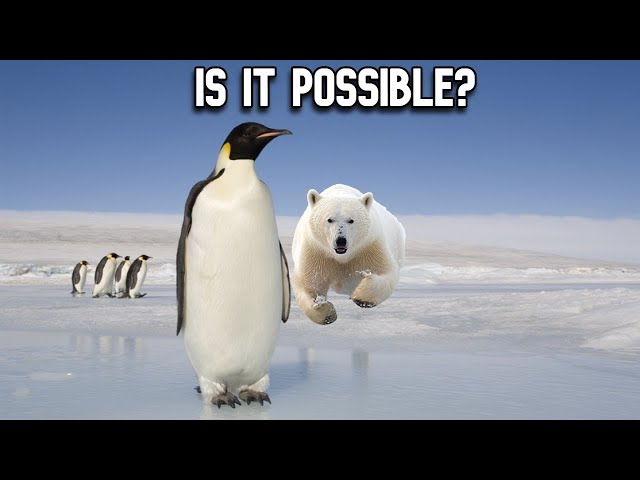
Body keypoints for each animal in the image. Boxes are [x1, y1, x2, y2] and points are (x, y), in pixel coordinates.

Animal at [291, 184, 406, 325]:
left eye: (351, 220)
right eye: (329, 219)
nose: (341, 240)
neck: (342, 256)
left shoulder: (368, 246)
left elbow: (385, 272)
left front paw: (362, 297)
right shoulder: (316, 250)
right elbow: (308, 284)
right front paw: (325, 310)